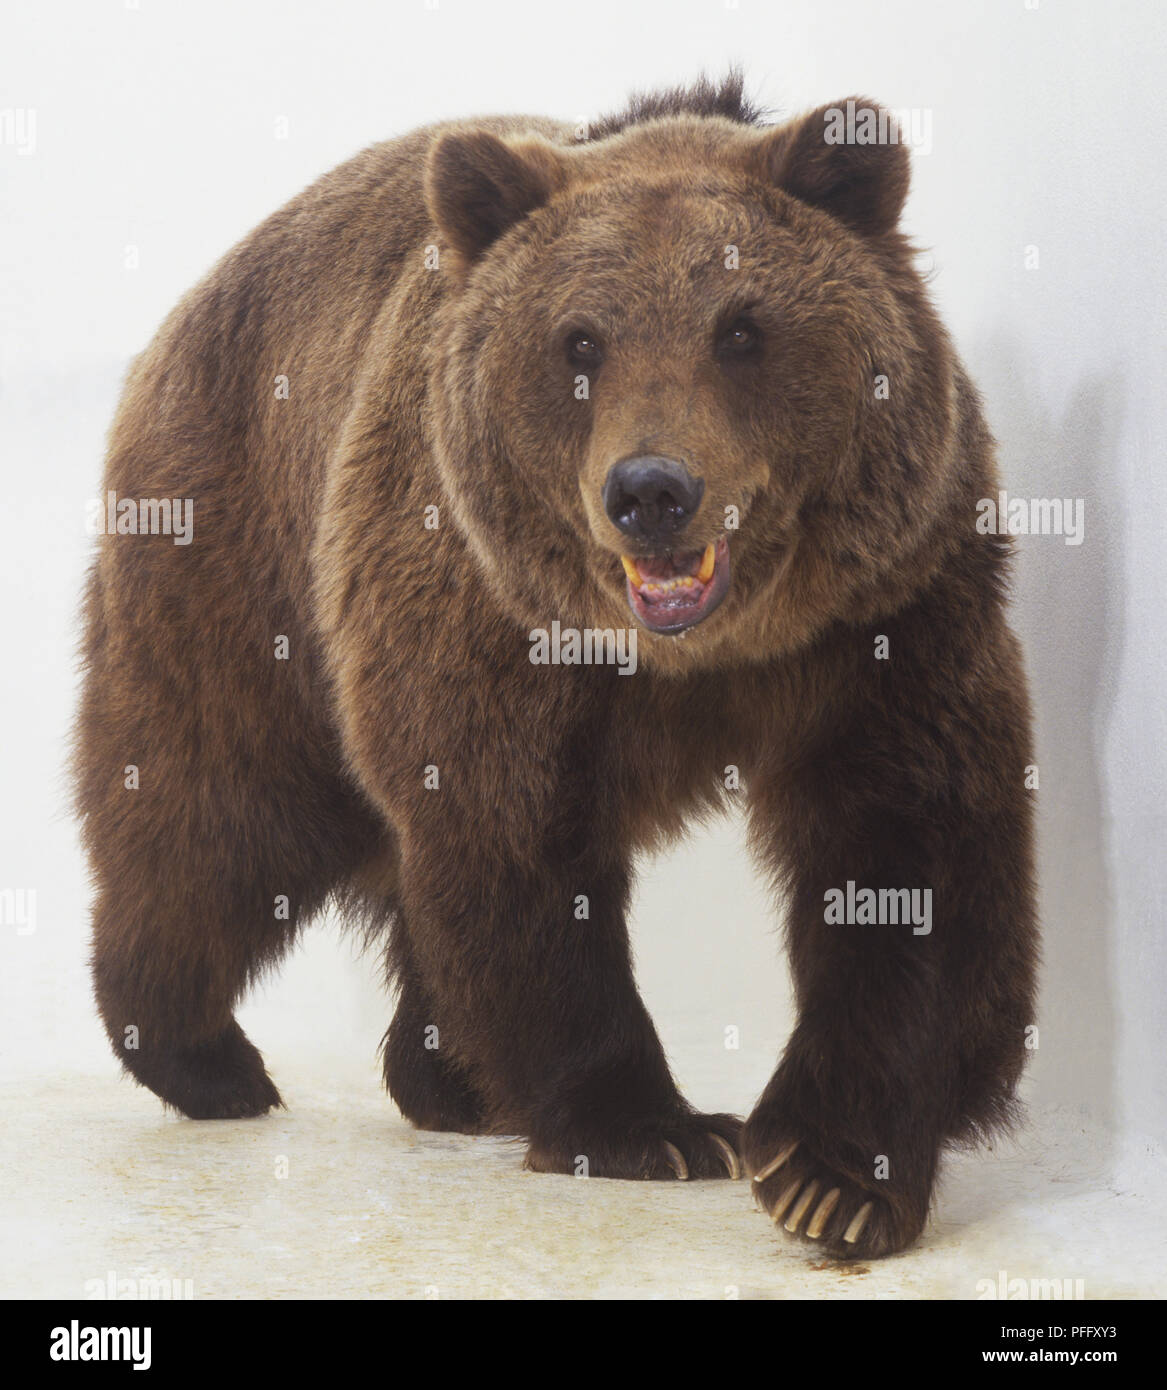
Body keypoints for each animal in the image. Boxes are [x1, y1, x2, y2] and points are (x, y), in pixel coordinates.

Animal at [74, 73, 1038, 1260]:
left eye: (742, 327)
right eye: (580, 342)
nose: (651, 490)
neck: (698, 652)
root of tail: (189, 303)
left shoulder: (886, 615)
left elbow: (908, 848)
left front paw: (832, 1176)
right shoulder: (494, 621)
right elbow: (517, 841)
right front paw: (654, 1127)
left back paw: (444, 1078)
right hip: (242, 554)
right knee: (221, 812)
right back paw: (204, 1057)